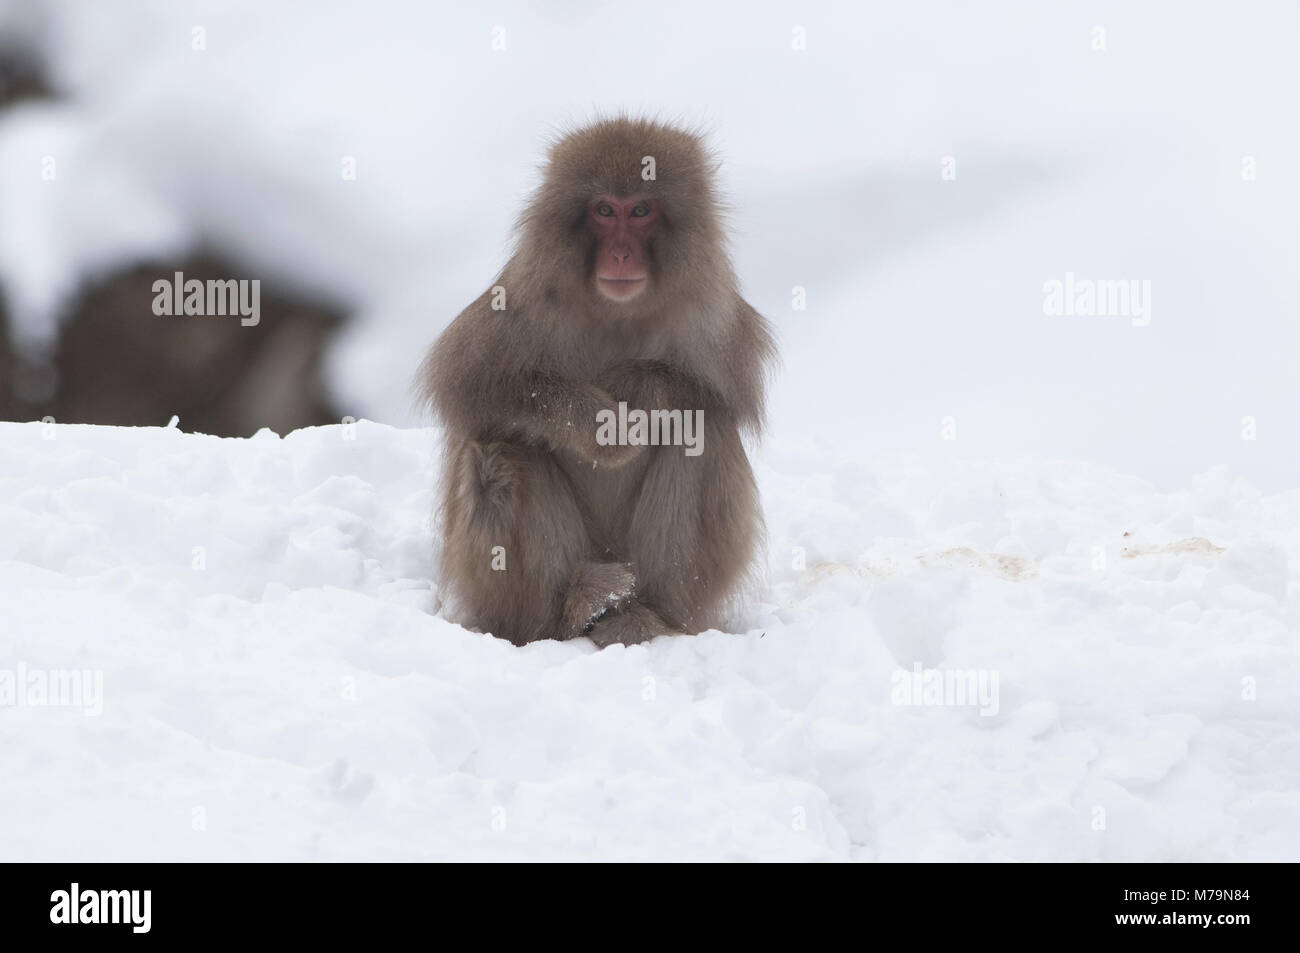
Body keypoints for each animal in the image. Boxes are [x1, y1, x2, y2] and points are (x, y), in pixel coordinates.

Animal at [420, 117, 774, 647]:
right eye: (605, 210)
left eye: (641, 210)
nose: (622, 254)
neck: (616, 312)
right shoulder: (522, 297)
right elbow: (465, 384)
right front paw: (600, 426)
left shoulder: (714, 316)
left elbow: (730, 398)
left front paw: (637, 386)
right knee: (501, 444)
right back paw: (573, 610)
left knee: (701, 427)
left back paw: (650, 618)